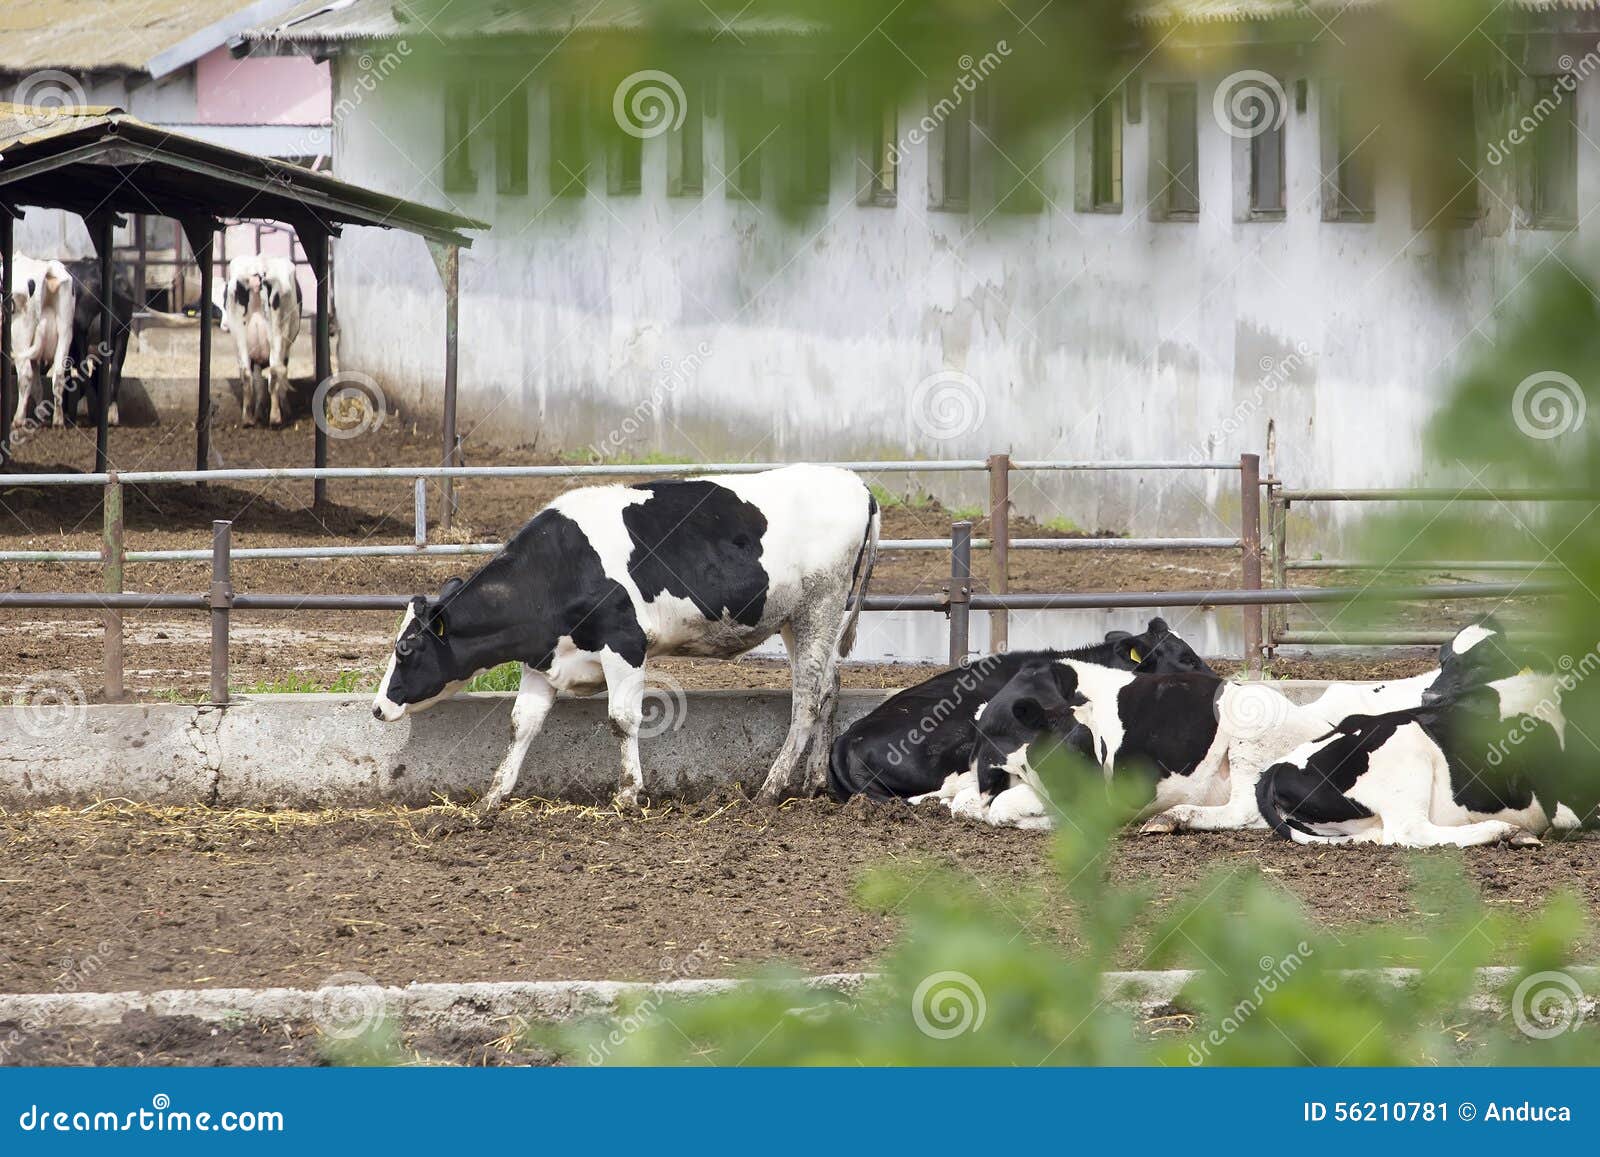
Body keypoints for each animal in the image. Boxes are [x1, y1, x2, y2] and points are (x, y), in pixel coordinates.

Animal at [7, 255, 74, 429]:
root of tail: (47, 268)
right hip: (65, 331)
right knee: (58, 375)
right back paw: (56, 420)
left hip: (19, 334)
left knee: (26, 374)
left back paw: (18, 420)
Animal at [62, 257, 135, 427]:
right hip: (124, 330)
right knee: (115, 370)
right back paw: (111, 415)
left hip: (81, 329)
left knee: (83, 370)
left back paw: (83, 412)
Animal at [222, 256, 301, 426]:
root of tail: (259, 269)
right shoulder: (285, 349)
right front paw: (286, 411)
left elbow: (258, 383)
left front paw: (258, 413)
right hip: (278, 332)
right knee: (275, 371)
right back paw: (275, 418)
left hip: (240, 336)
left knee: (246, 374)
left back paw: (247, 419)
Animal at [371, 465, 880, 810]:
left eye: (406, 648)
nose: (377, 709)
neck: (558, 570)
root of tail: (854, 482)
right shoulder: (542, 658)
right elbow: (522, 724)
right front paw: (494, 796)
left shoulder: (625, 645)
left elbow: (622, 719)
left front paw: (628, 793)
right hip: (799, 619)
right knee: (829, 687)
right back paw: (813, 782)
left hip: (820, 605)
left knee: (806, 700)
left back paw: (772, 788)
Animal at [953, 620, 1528, 832]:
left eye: (1085, 743)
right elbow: (971, 802)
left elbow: (1001, 807)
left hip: (1247, 735)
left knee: (1242, 811)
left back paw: (1179, 816)